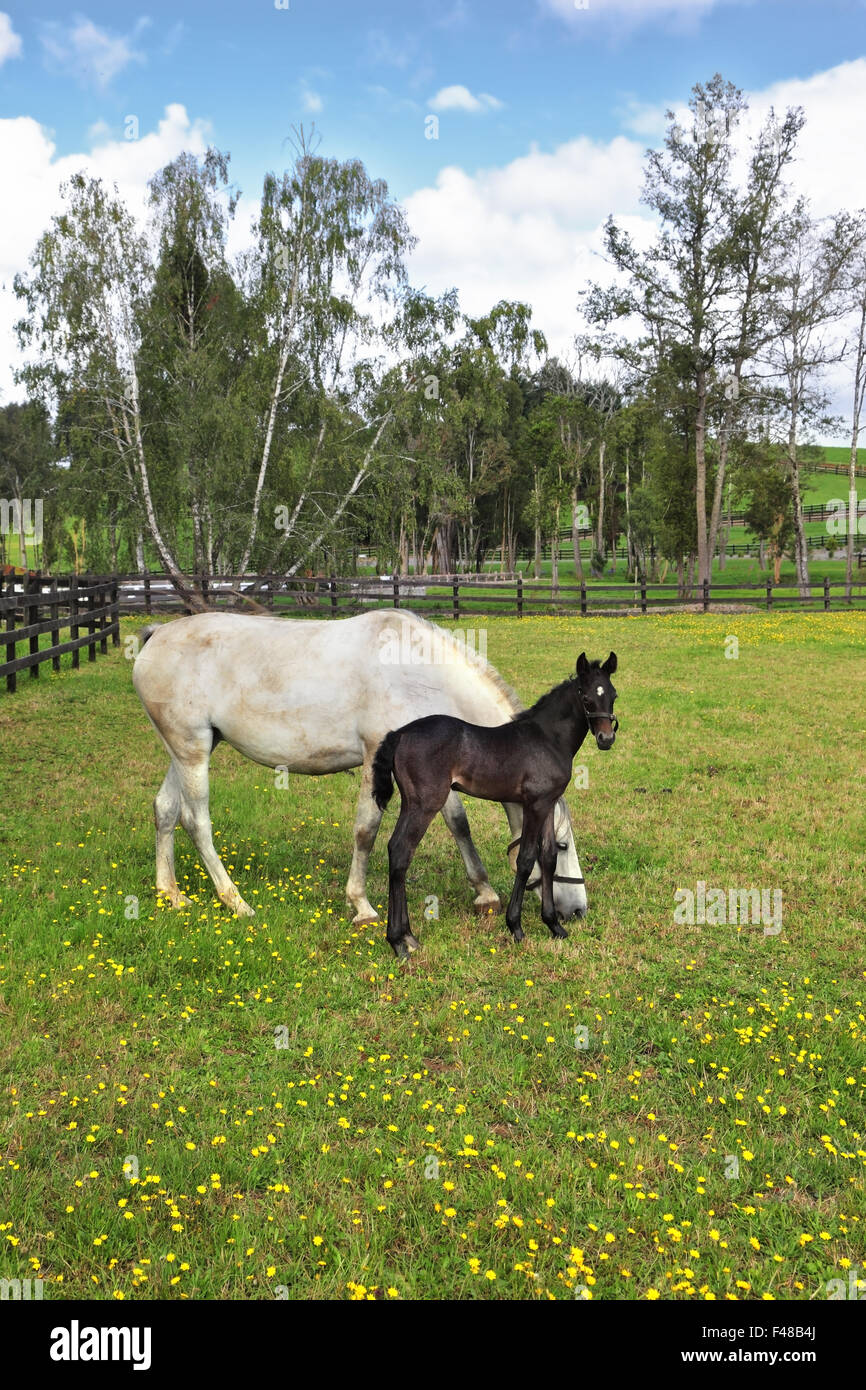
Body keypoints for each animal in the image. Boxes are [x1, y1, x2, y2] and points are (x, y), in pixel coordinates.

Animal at [131, 609, 589, 925]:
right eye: (561, 846)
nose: (578, 910)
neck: (417, 672)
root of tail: (156, 636)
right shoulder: (376, 759)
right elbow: (366, 831)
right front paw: (362, 905)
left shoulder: (436, 767)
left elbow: (458, 823)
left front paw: (484, 893)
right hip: (192, 752)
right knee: (196, 821)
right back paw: (236, 901)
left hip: (187, 751)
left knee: (165, 810)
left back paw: (171, 893)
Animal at [371, 651, 618, 958]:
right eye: (585, 697)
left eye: (613, 695)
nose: (606, 739)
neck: (547, 739)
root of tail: (399, 734)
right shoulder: (534, 804)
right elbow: (527, 859)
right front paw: (516, 927)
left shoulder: (547, 804)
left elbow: (547, 857)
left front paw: (554, 926)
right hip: (425, 803)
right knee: (402, 852)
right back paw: (398, 941)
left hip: (411, 802)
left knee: (395, 848)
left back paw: (406, 937)